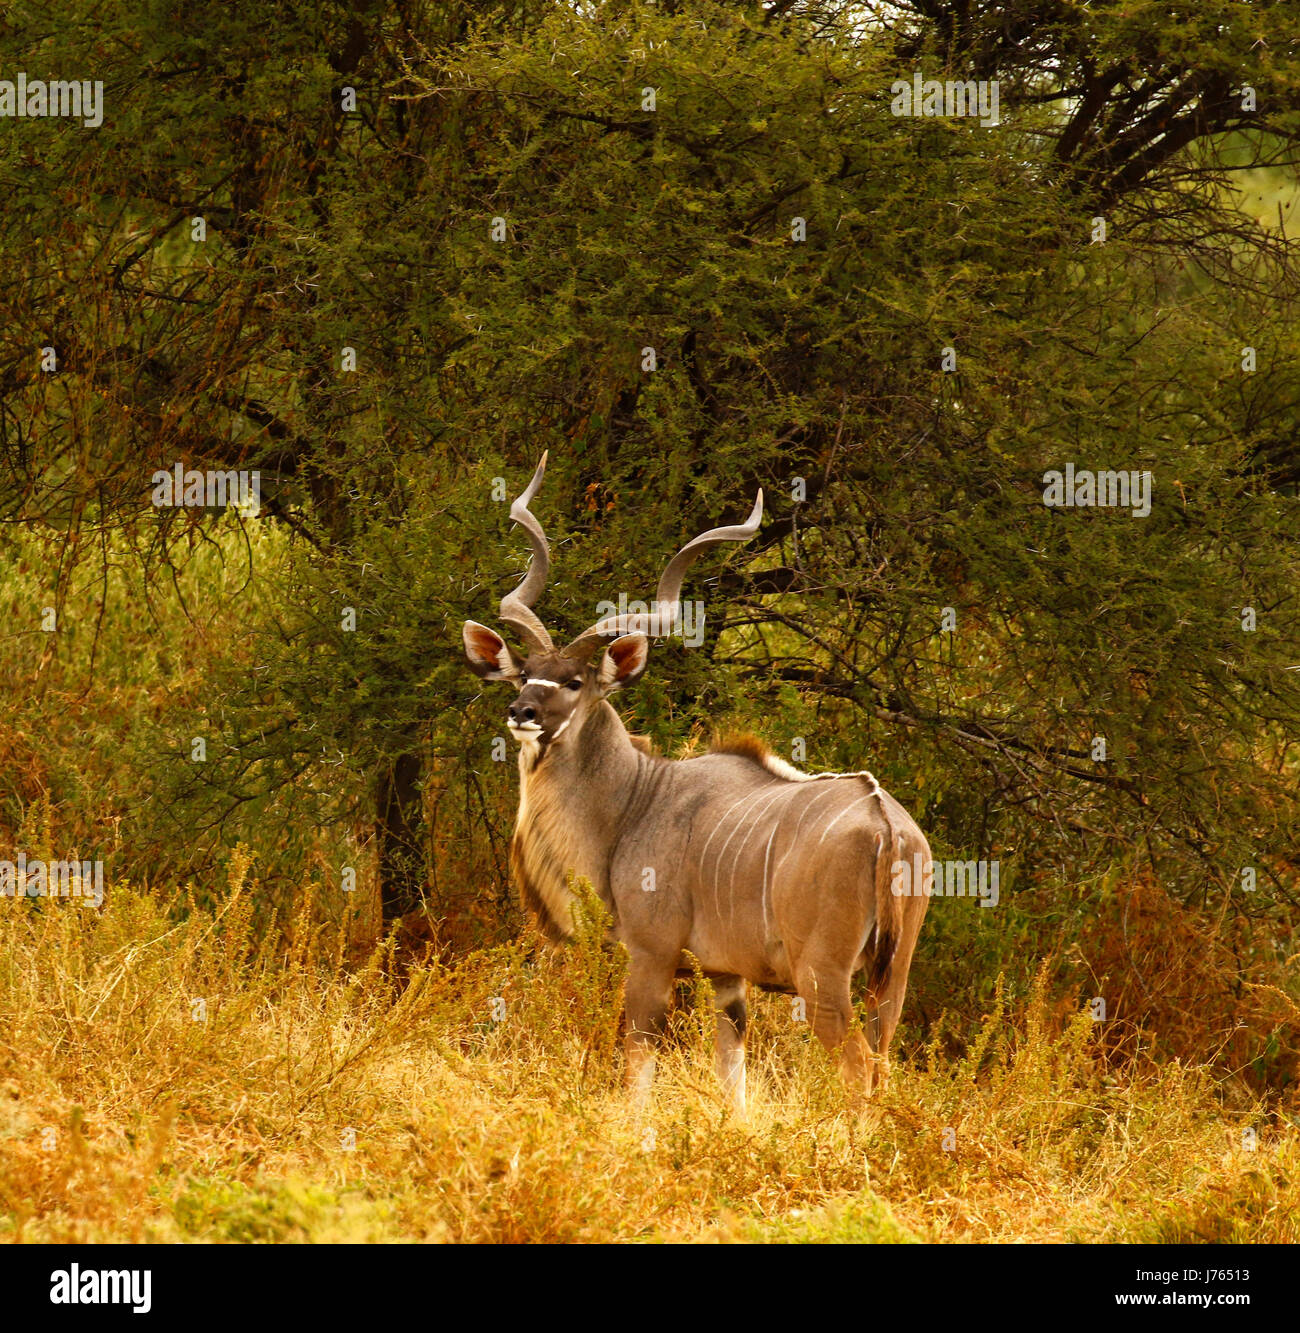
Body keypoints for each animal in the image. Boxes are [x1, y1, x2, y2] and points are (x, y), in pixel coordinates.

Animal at [463, 455, 932, 1112]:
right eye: (526, 672)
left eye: (576, 681)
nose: (522, 711)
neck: (635, 802)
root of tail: (888, 826)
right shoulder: (725, 978)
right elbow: (733, 1078)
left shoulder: (652, 958)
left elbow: (637, 1073)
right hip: (894, 977)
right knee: (884, 1063)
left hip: (824, 979)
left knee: (859, 1070)